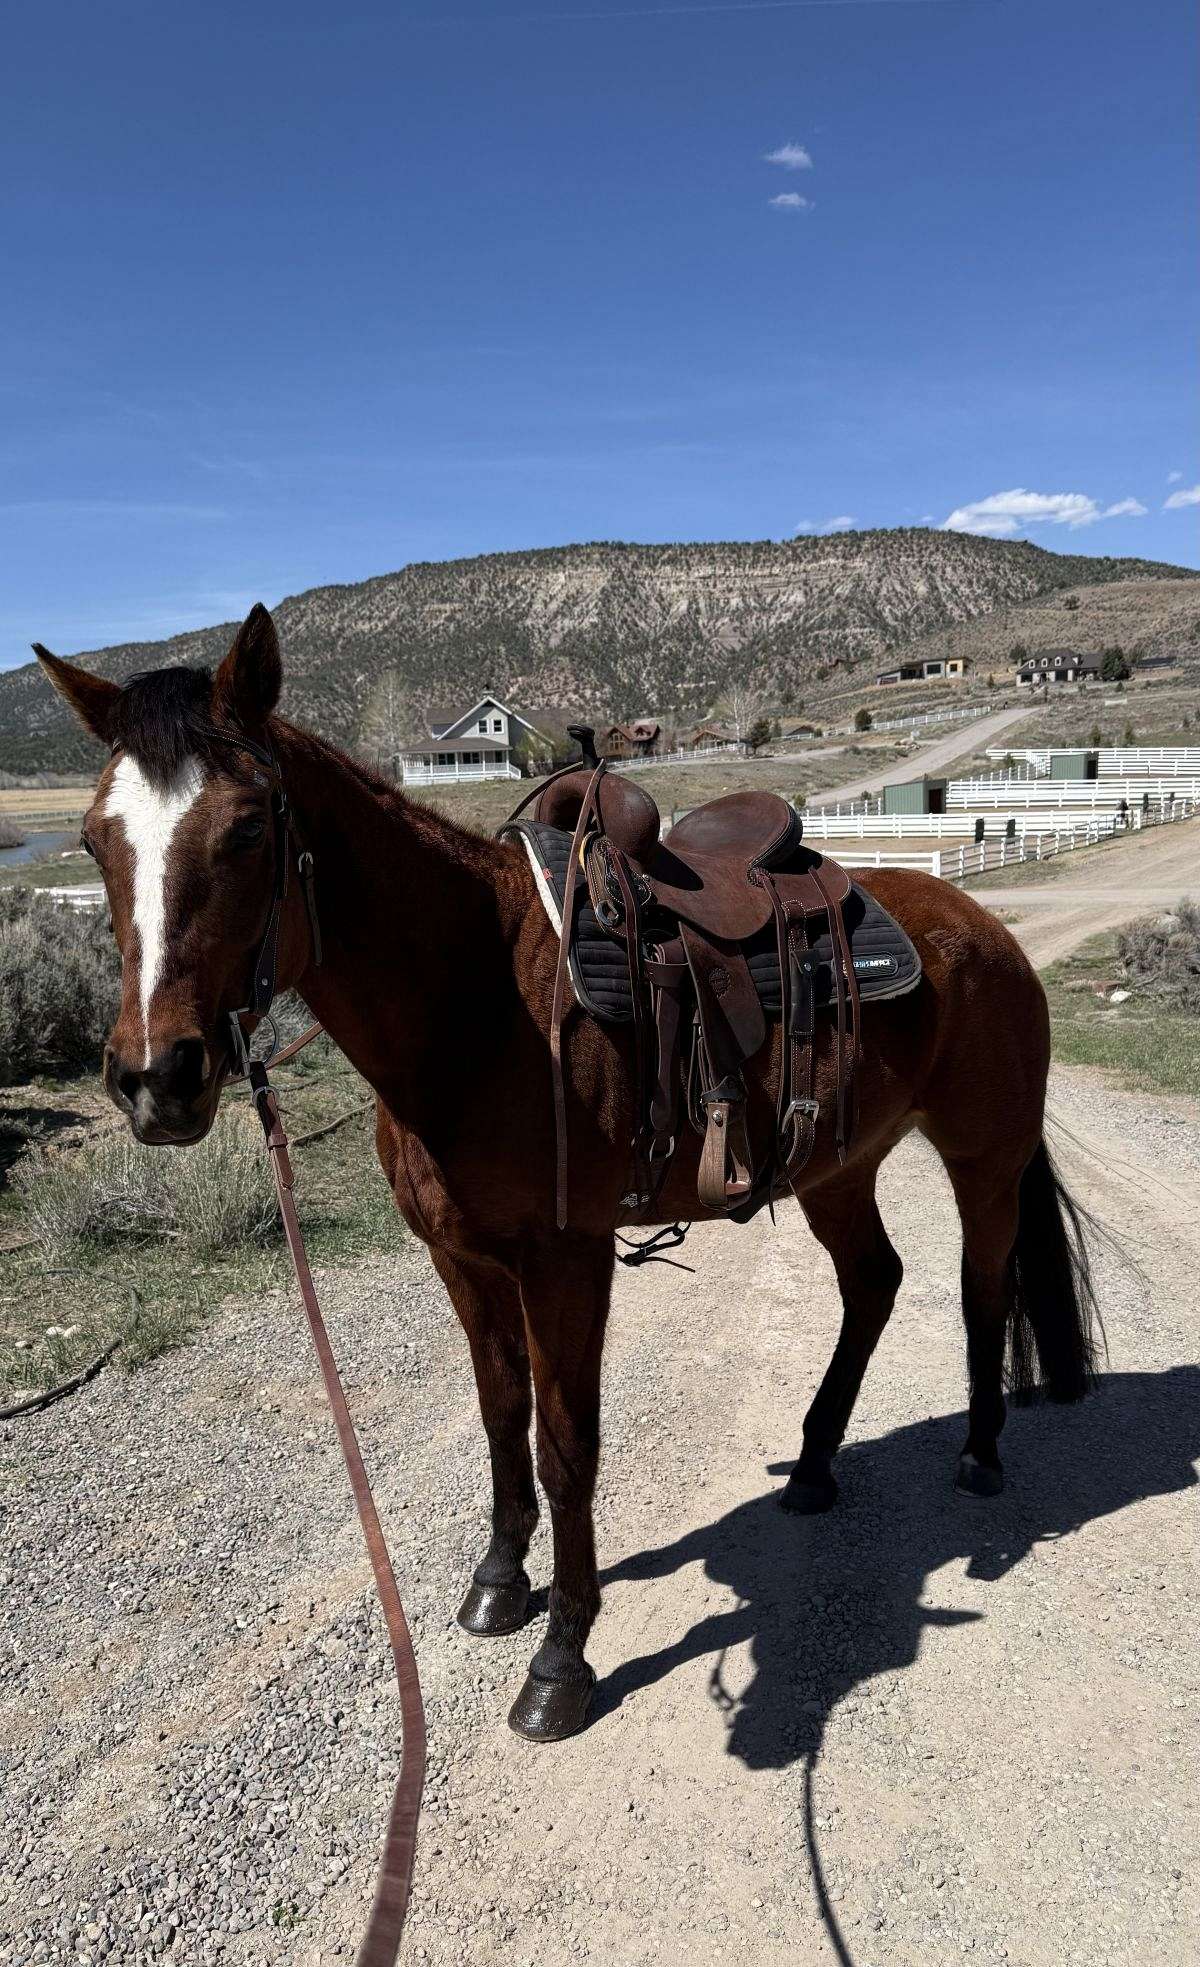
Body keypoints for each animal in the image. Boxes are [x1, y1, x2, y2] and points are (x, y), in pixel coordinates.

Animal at [36, 603, 1099, 1744]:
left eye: (245, 827)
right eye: (94, 840)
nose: (157, 1076)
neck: (472, 1006)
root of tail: (980, 927)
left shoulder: (565, 1261)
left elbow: (566, 1443)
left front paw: (562, 1658)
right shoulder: (463, 1261)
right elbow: (502, 1417)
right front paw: (502, 1580)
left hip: (982, 1157)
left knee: (981, 1287)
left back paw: (981, 1453)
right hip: (836, 1167)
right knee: (874, 1283)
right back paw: (815, 1465)